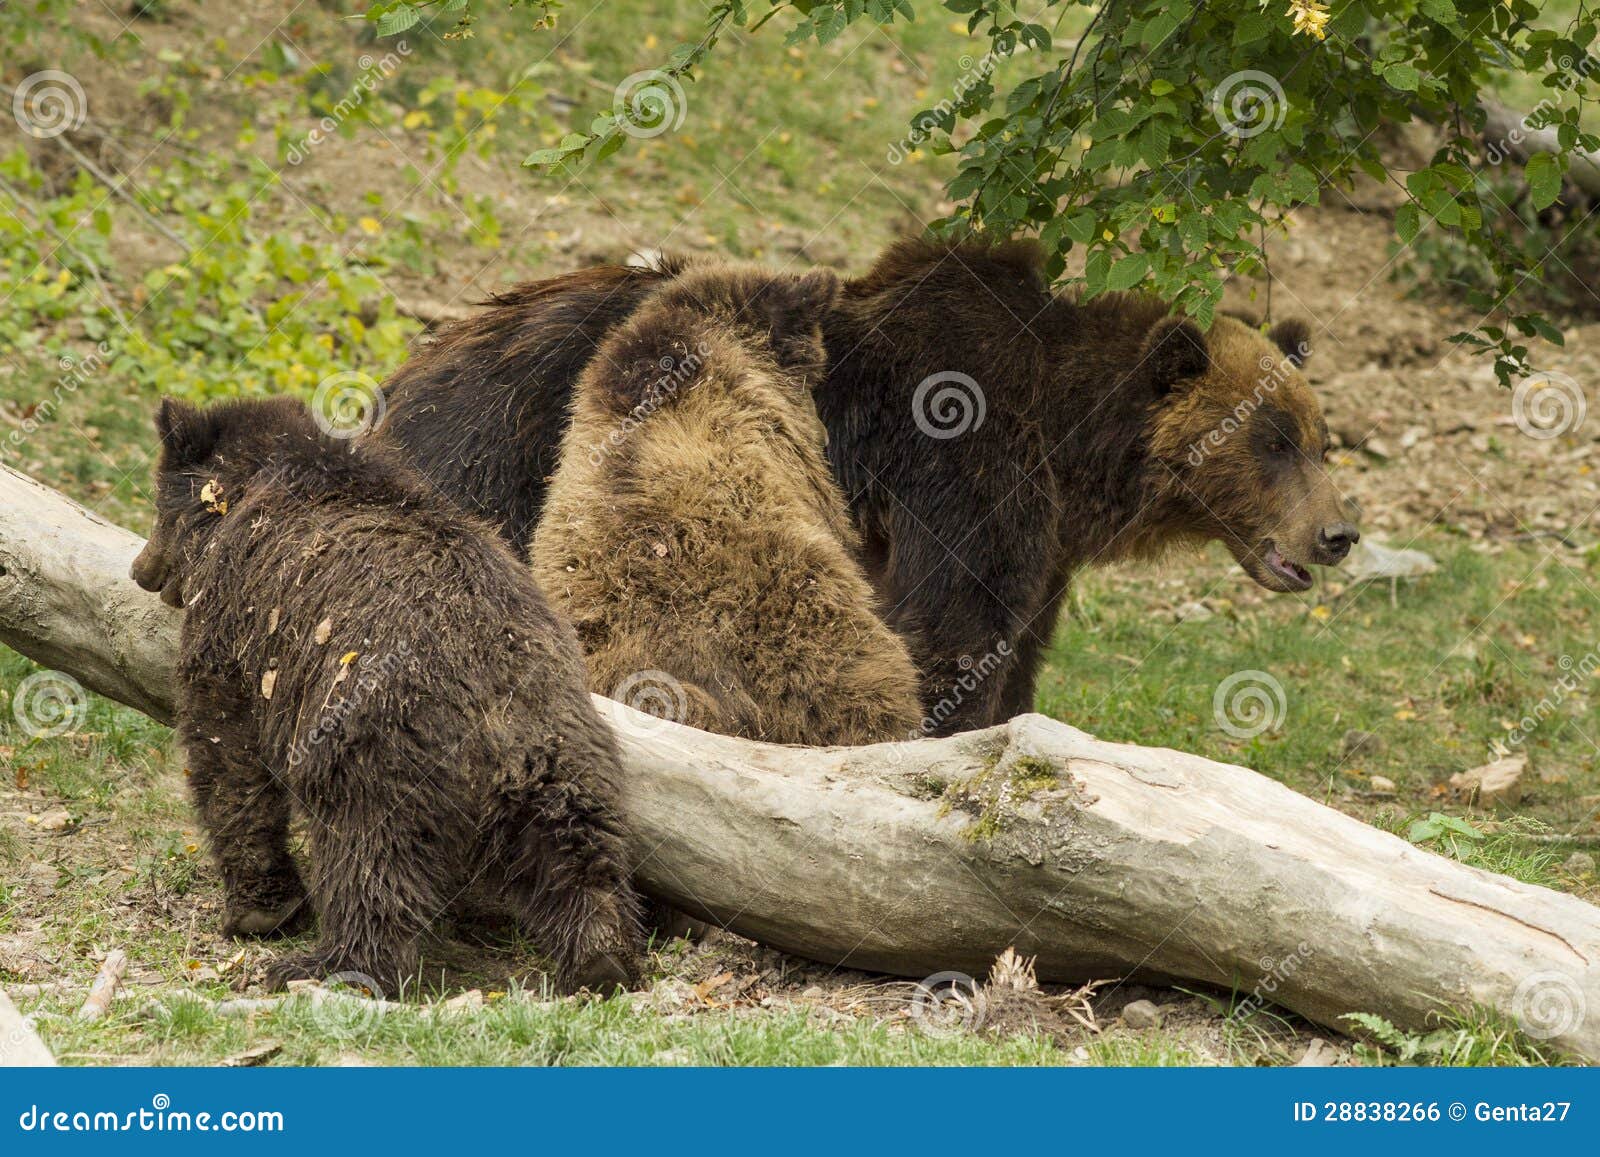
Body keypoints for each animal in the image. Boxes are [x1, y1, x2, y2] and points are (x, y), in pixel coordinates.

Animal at [130, 395, 644, 994]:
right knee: (582, 853)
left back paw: (329, 964)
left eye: (156, 506)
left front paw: (259, 910)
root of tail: (501, 729)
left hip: (376, 750)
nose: (140, 569)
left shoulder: (240, 614)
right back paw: (601, 960)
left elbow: (226, 747)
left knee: (369, 857)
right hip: (571, 759)